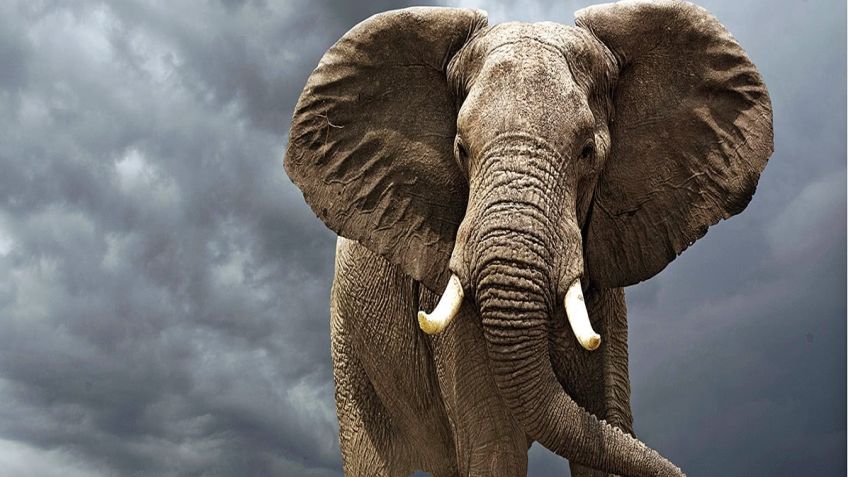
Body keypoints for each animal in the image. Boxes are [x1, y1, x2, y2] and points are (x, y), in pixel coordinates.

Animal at [284, 1, 773, 476]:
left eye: (587, 152)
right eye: (461, 149)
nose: (682, 470)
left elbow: (607, 428)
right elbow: (496, 449)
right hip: (346, 338)